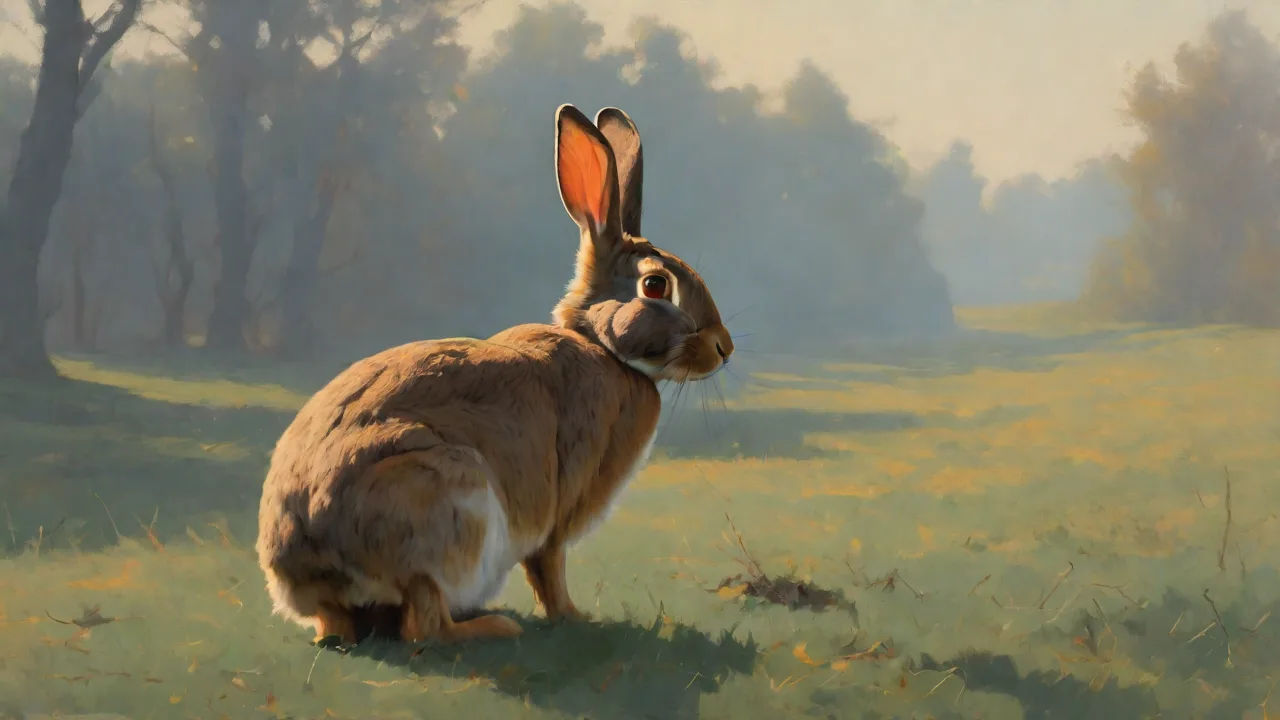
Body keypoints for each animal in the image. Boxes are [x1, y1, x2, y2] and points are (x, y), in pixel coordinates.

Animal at [256, 104, 734, 645]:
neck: (602, 347)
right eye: (655, 285)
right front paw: (575, 618)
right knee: (425, 626)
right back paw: (495, 627)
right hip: (447, 503)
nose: (724, 348)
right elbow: (549, 569)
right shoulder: (556, 514)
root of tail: (307, 560)